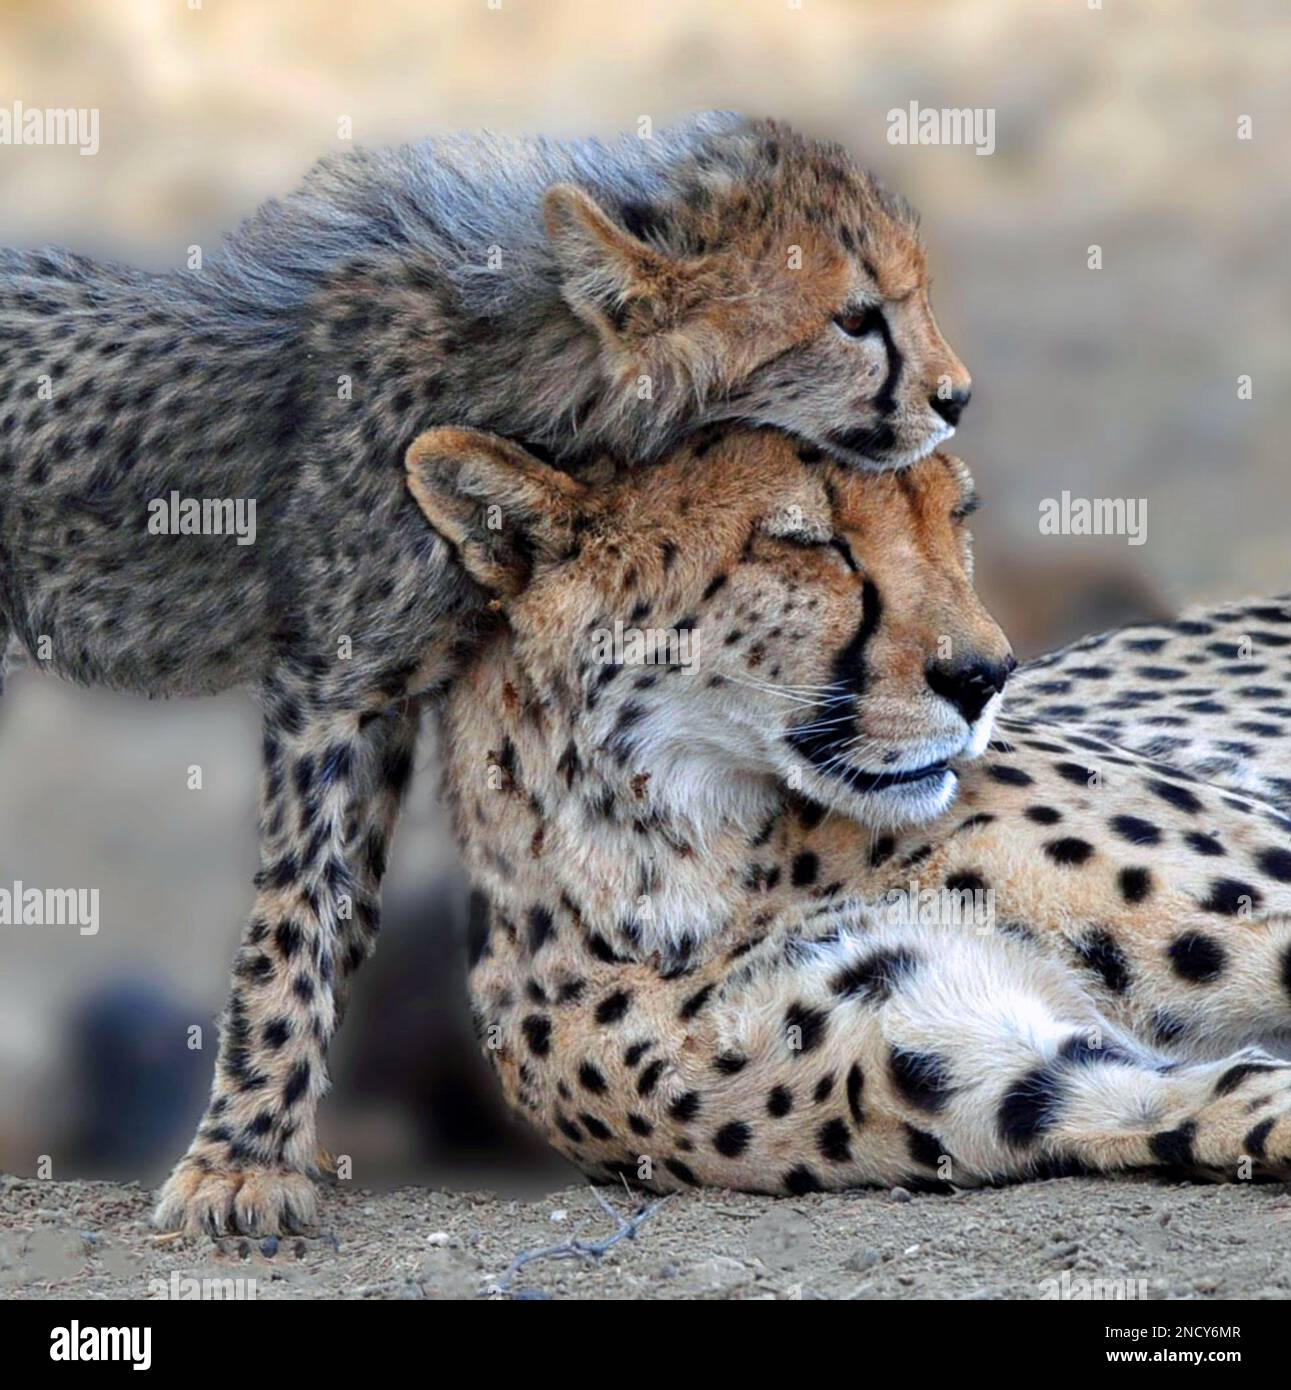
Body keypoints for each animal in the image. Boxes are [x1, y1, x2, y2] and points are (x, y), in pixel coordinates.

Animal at [0, 113, 971, 1235]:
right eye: (856, 317)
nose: (957, 396)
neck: (535, 363)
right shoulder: (333, 689)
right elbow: (294, 912)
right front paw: (241, 1163)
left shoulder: (407, 686)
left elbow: (347, 914)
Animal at [413, 423, 1291, 1196]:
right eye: (804, 540)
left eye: (954, 514)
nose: (985, 676)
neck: (692, 869)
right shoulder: (1024, 1076)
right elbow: (1236, 1105)